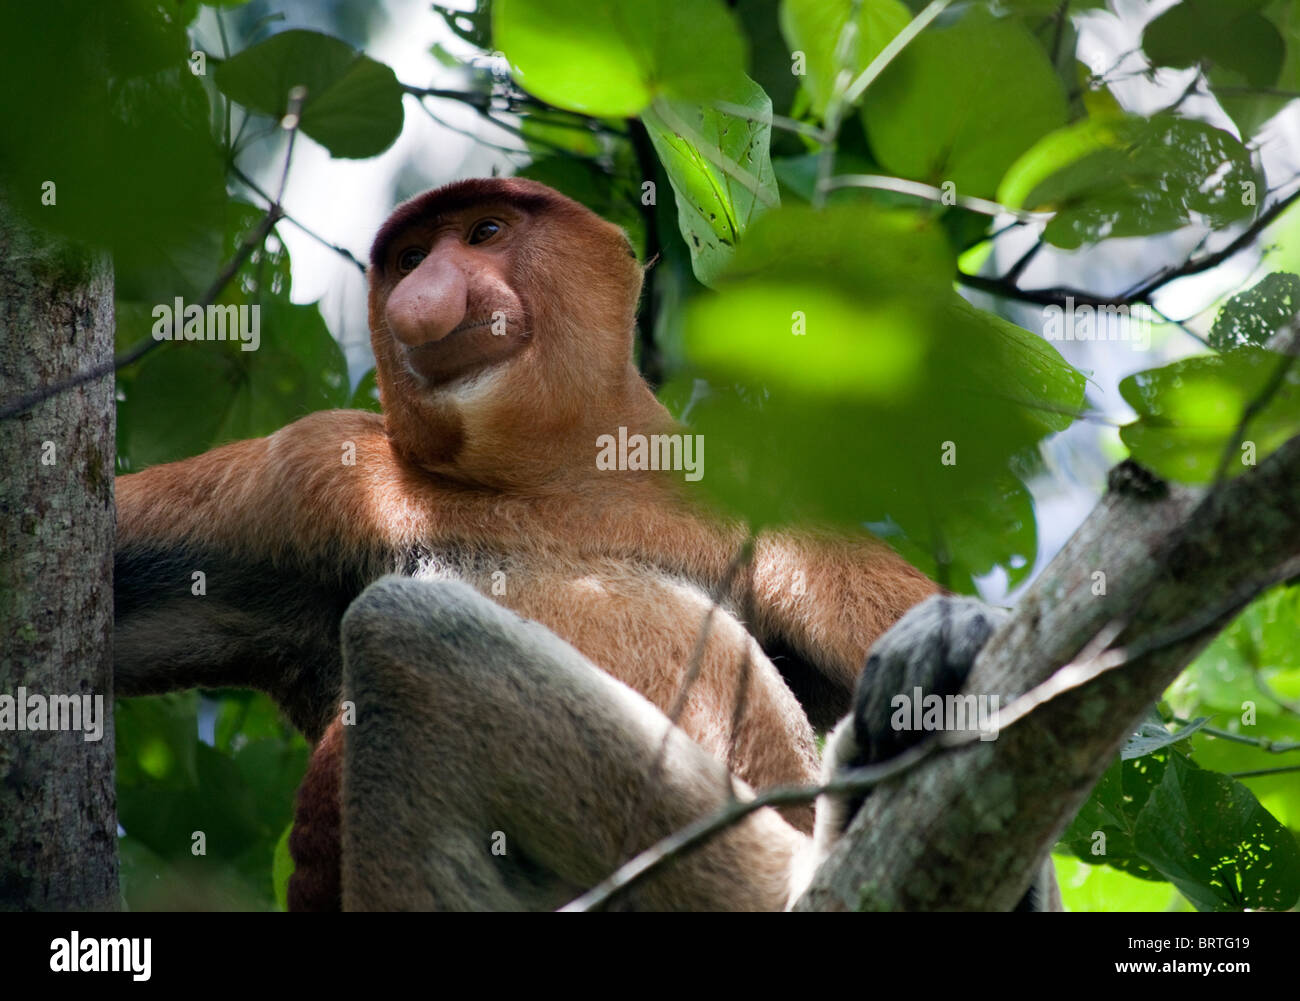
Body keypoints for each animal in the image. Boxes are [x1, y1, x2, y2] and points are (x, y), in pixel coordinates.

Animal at [114, 177, 1054, 911]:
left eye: (485, 233)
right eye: (411, 257)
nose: (423, 297)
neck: (557, 479)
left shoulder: (787, 512)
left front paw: (951, 630)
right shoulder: (315, 473)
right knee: (405, 635)